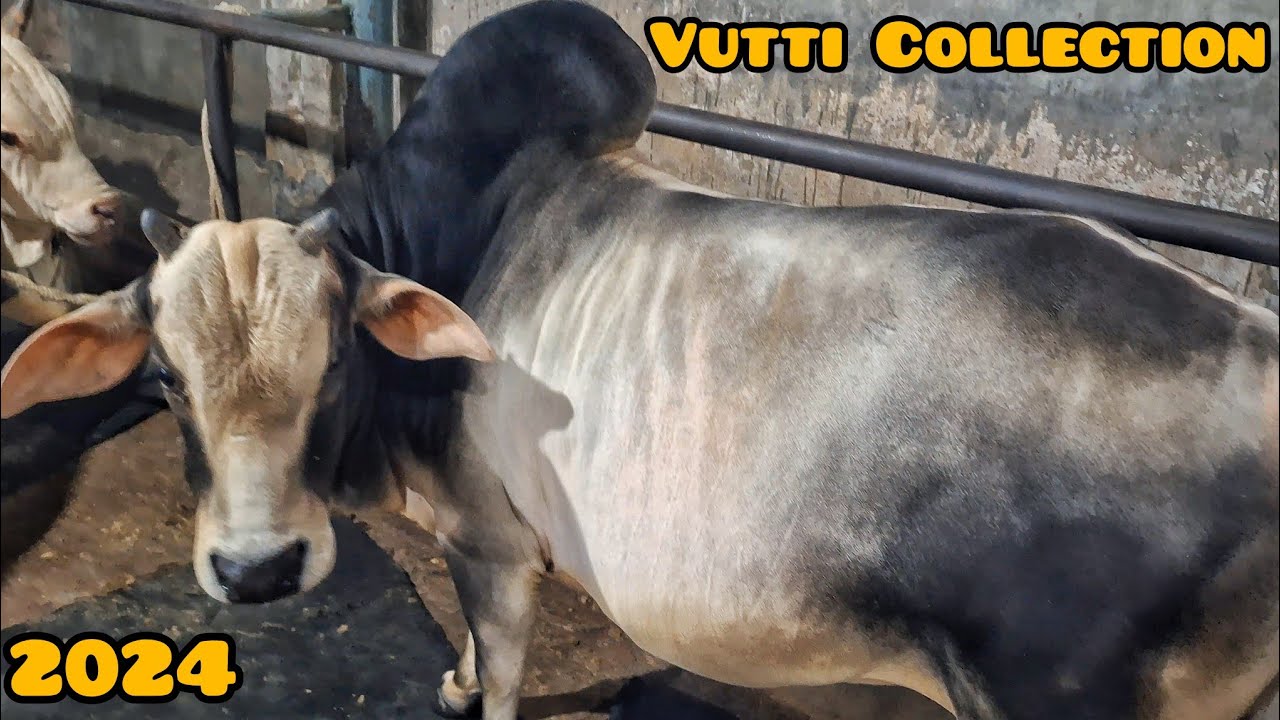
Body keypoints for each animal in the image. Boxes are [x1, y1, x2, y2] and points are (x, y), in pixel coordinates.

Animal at [2, 2, 1276, 719]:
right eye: (167, 381)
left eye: (330, 371)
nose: (258, 569)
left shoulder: (489, 539)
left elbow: (503, 670)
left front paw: (471, 688)